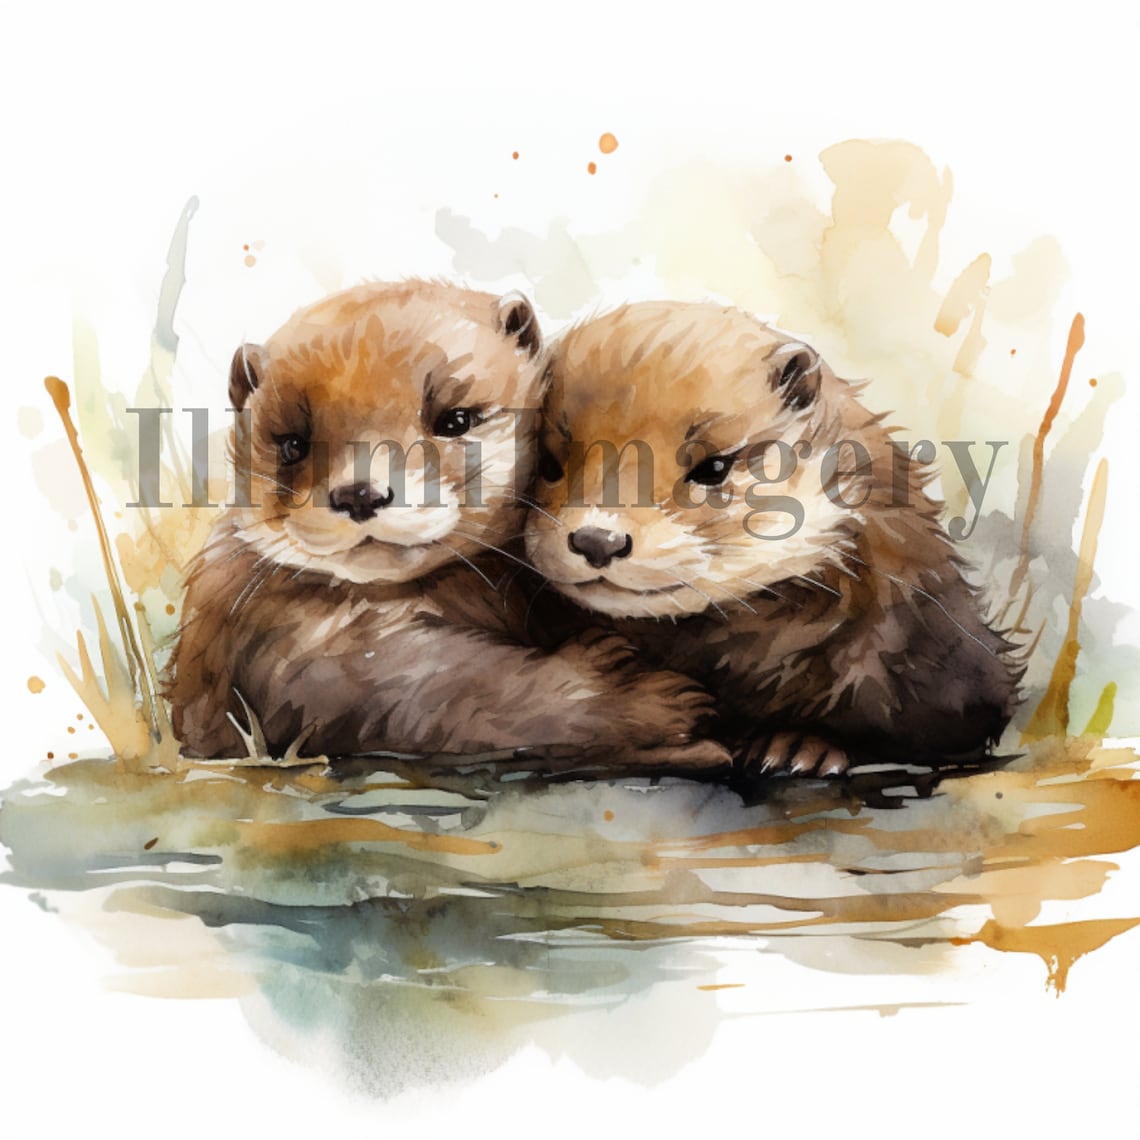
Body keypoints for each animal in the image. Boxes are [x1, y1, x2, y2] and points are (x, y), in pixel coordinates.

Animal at [167, 282, 723, 765]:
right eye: (292, 444)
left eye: (456, 419)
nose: (360, 493)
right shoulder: (304, 663)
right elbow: (475, 697)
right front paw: (646, 697)